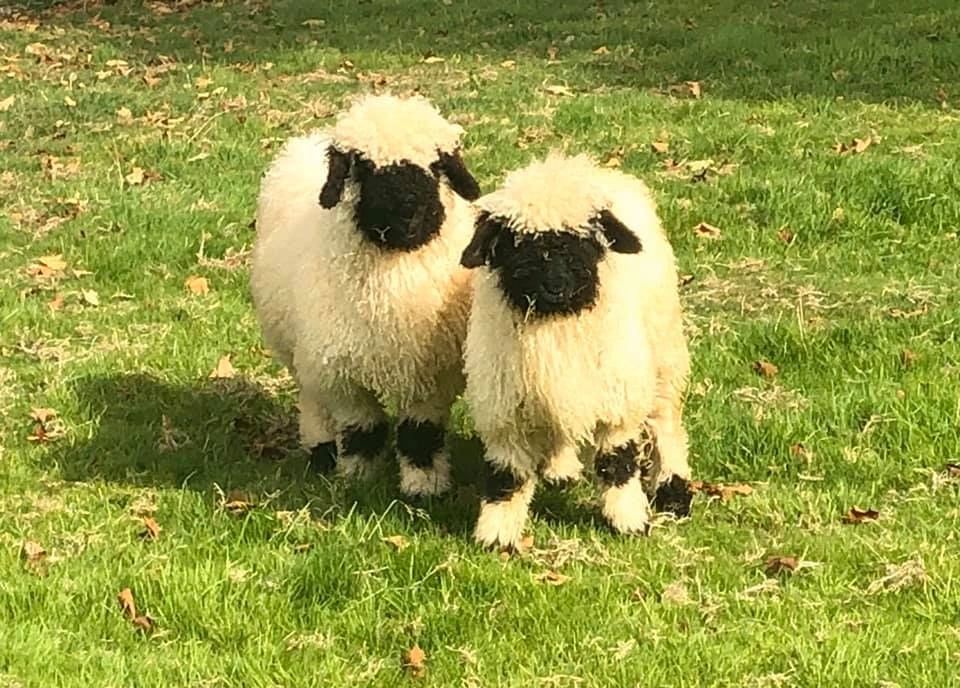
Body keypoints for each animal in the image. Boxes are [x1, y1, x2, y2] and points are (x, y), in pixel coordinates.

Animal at [251, 94, 481, 497]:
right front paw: (357, 479)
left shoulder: (432, 375)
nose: (408, 214)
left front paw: (424, 488)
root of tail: (306, 142)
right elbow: (363, 430)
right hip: (300, 352)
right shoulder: (341, 374)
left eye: (437, 165)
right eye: (363, 166)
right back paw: (321, 450)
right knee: (312, 400)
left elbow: (420, 435)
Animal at [458, 152, 693, 549]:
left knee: (665, 422)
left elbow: (618, 462)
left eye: (583, 238)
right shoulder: (506, 410)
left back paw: (674, 489)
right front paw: (496, 534)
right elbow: (507, 476)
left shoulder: (617, 401)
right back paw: (560, 468)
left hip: (662, 351)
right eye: (518, 241)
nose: (555, 286)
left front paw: (628, 520)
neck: (557, 323)